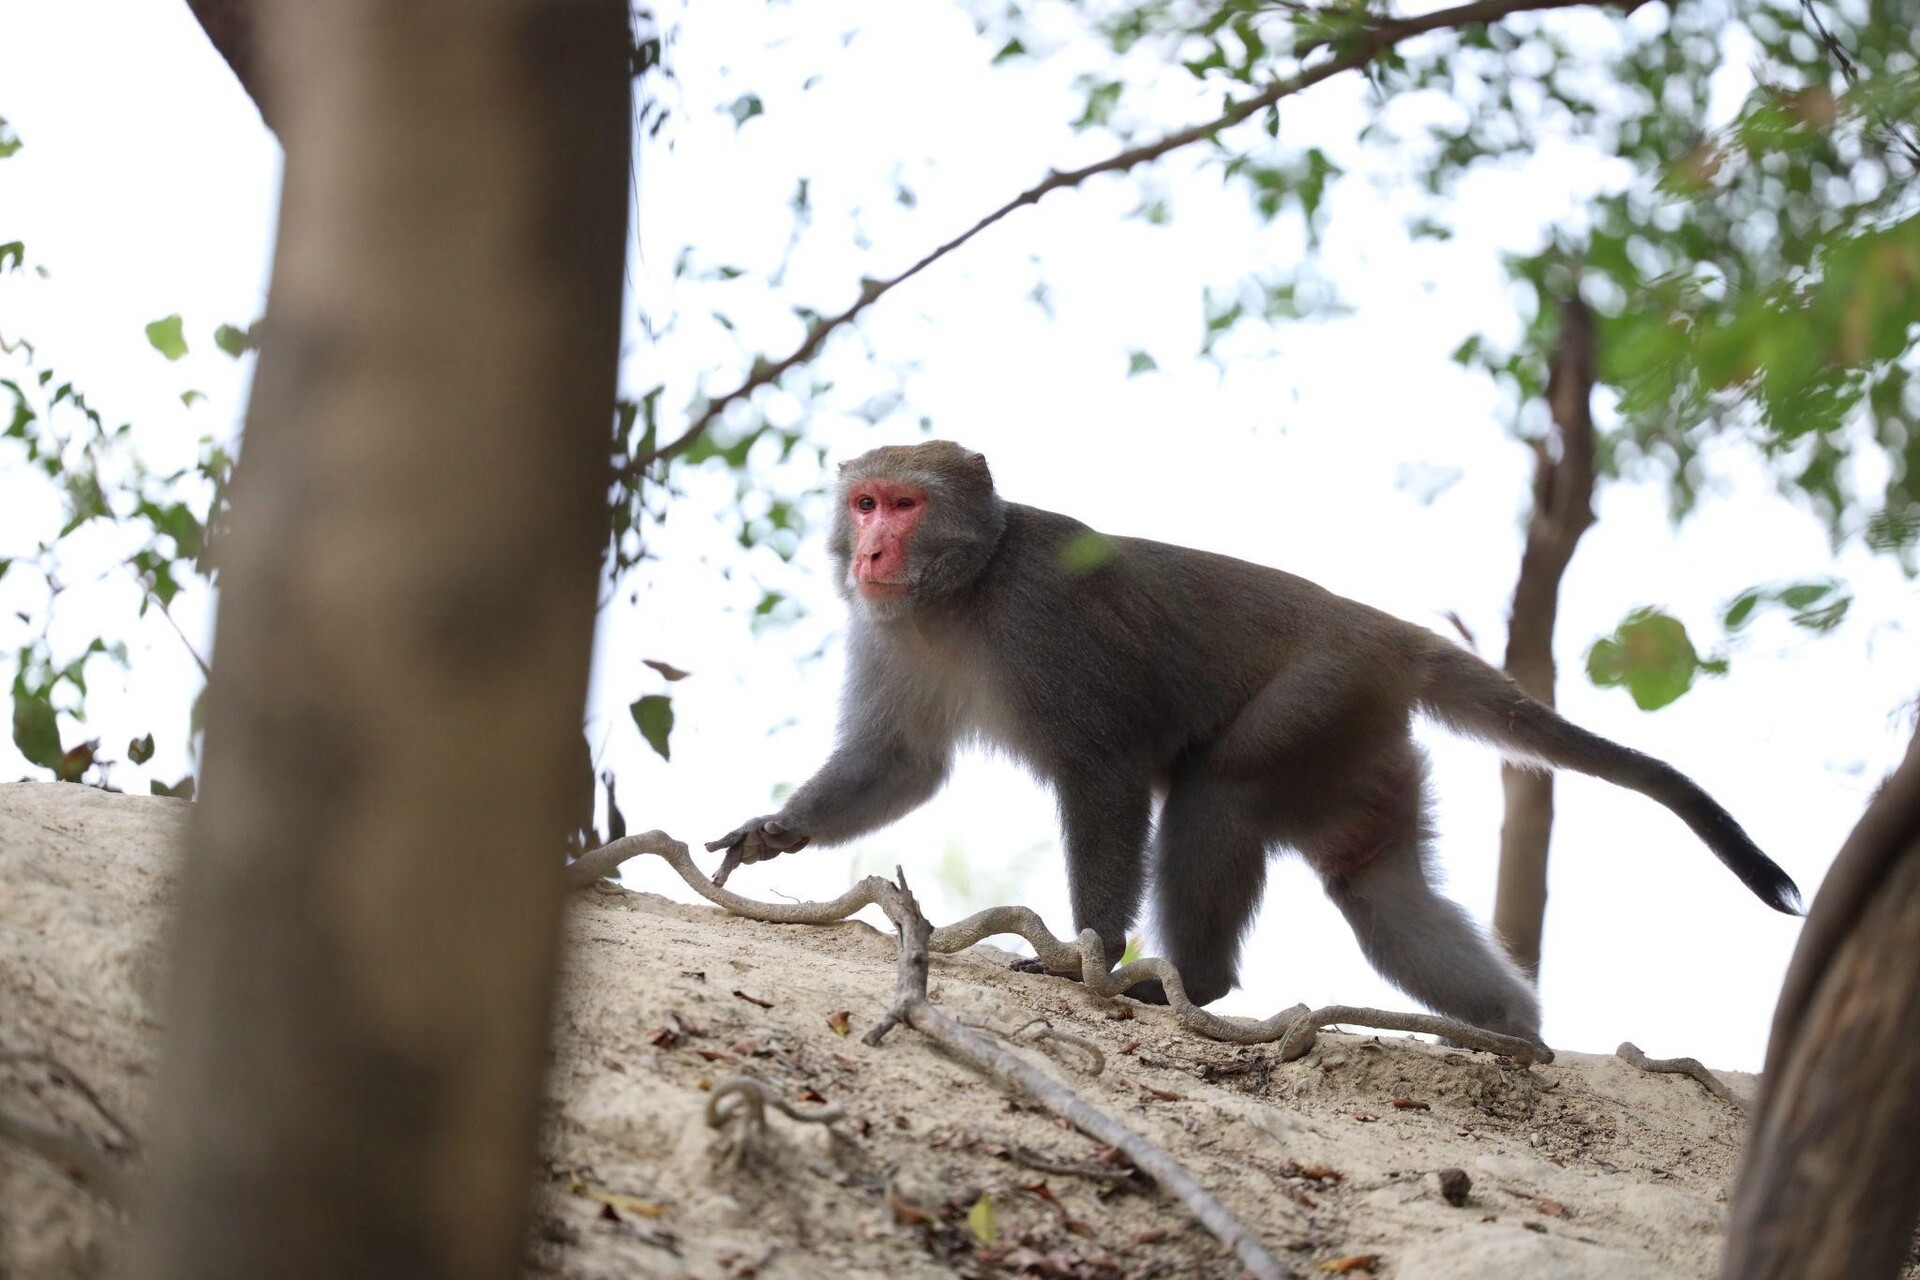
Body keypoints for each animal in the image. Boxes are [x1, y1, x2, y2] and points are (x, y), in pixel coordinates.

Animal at [708, 441, 1802, 1043]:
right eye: (864, 503)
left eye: (905, 503)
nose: (871, 548)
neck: (960, 590)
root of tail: (1380, 629)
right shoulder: (886, 629)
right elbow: (902, 764)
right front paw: (778, 830)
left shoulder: (1042, 624)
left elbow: (1104, 774)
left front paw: (1086, 952)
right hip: (1359, 738)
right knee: (1377, 888)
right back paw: (1512, 1032)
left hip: (1322, 693)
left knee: (1219, 794)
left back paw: (1190, 985)